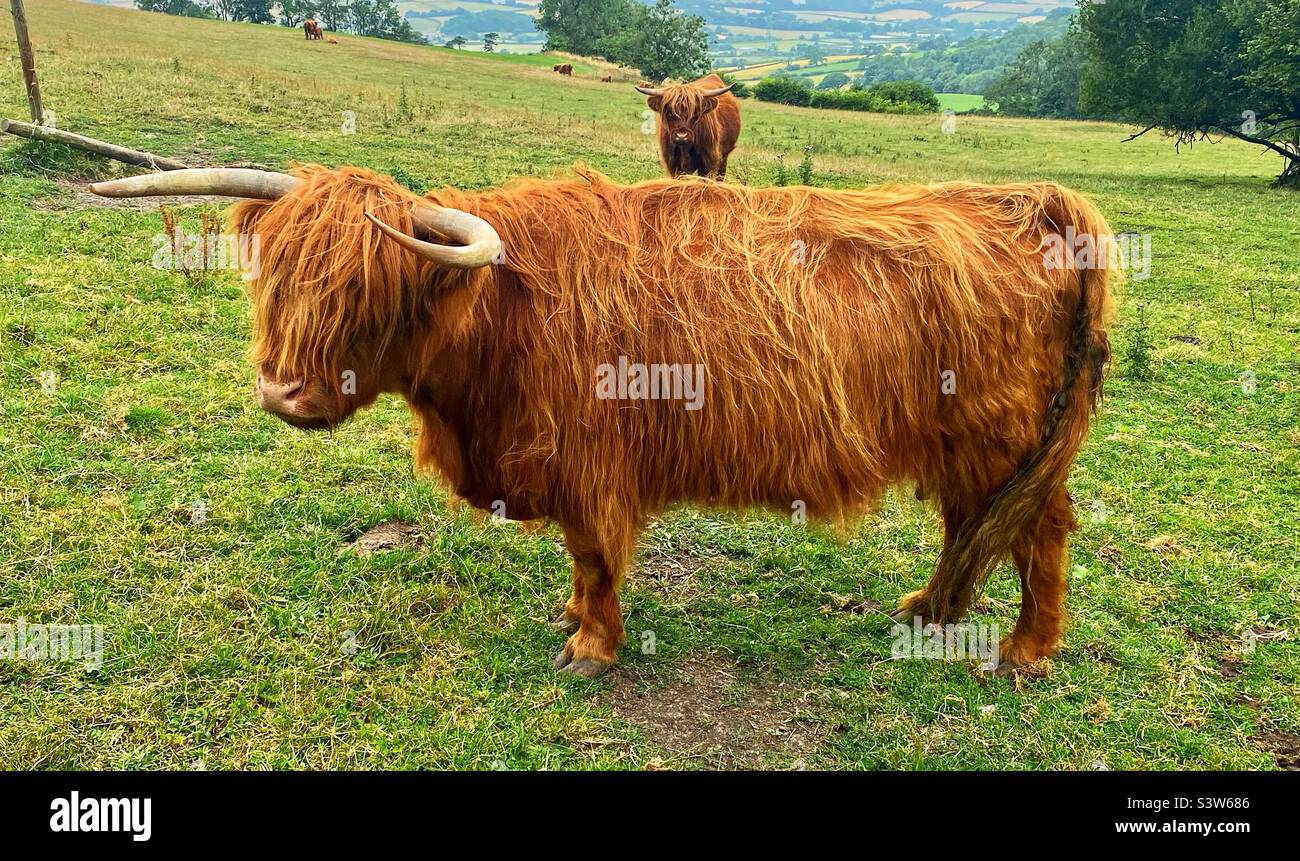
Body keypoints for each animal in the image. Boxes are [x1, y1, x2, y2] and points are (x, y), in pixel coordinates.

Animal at [90, 164, 1115, 679]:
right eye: (282, 274)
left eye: (376, 293)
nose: (285, 395)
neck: (501, 316)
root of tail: (1040, 202)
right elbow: (578, 567)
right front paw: (572, 617)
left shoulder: (586, 462)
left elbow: (593, 556)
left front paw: (590, 645)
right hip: (971, 450)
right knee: (973, 528)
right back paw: (930, 609)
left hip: (1004, 442)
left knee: (1040, 534)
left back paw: (1023, 653)